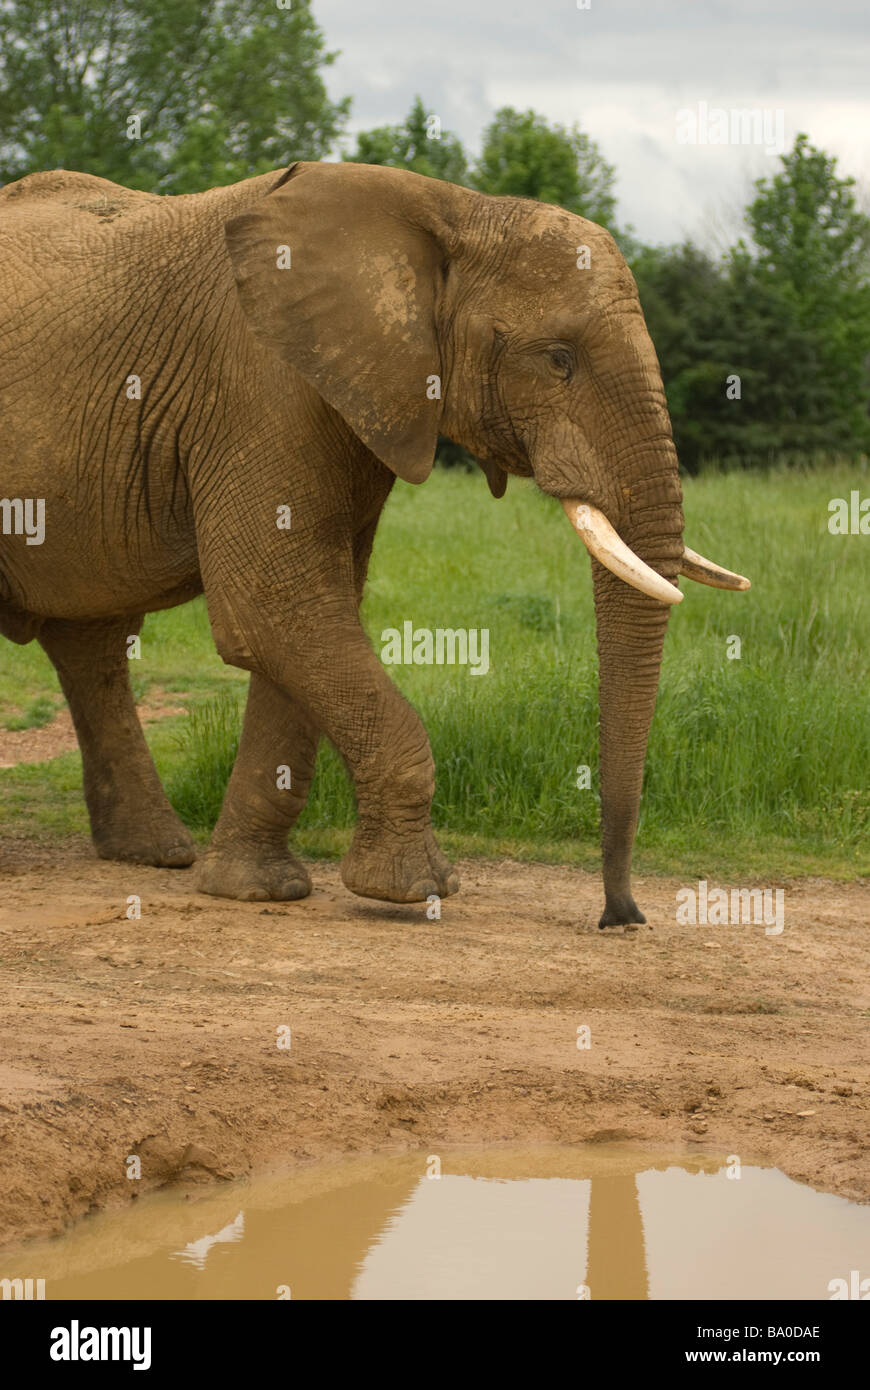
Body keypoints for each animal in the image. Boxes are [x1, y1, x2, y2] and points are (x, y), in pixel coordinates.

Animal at [0, 160, 749, 926]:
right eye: (558, 359)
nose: (620, 917)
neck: (455, 209)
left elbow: (307, 619)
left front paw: (255, 890)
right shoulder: (258, 388)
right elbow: (274, 610)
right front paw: (413, 890)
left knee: (88, 642)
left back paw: (154, 854)